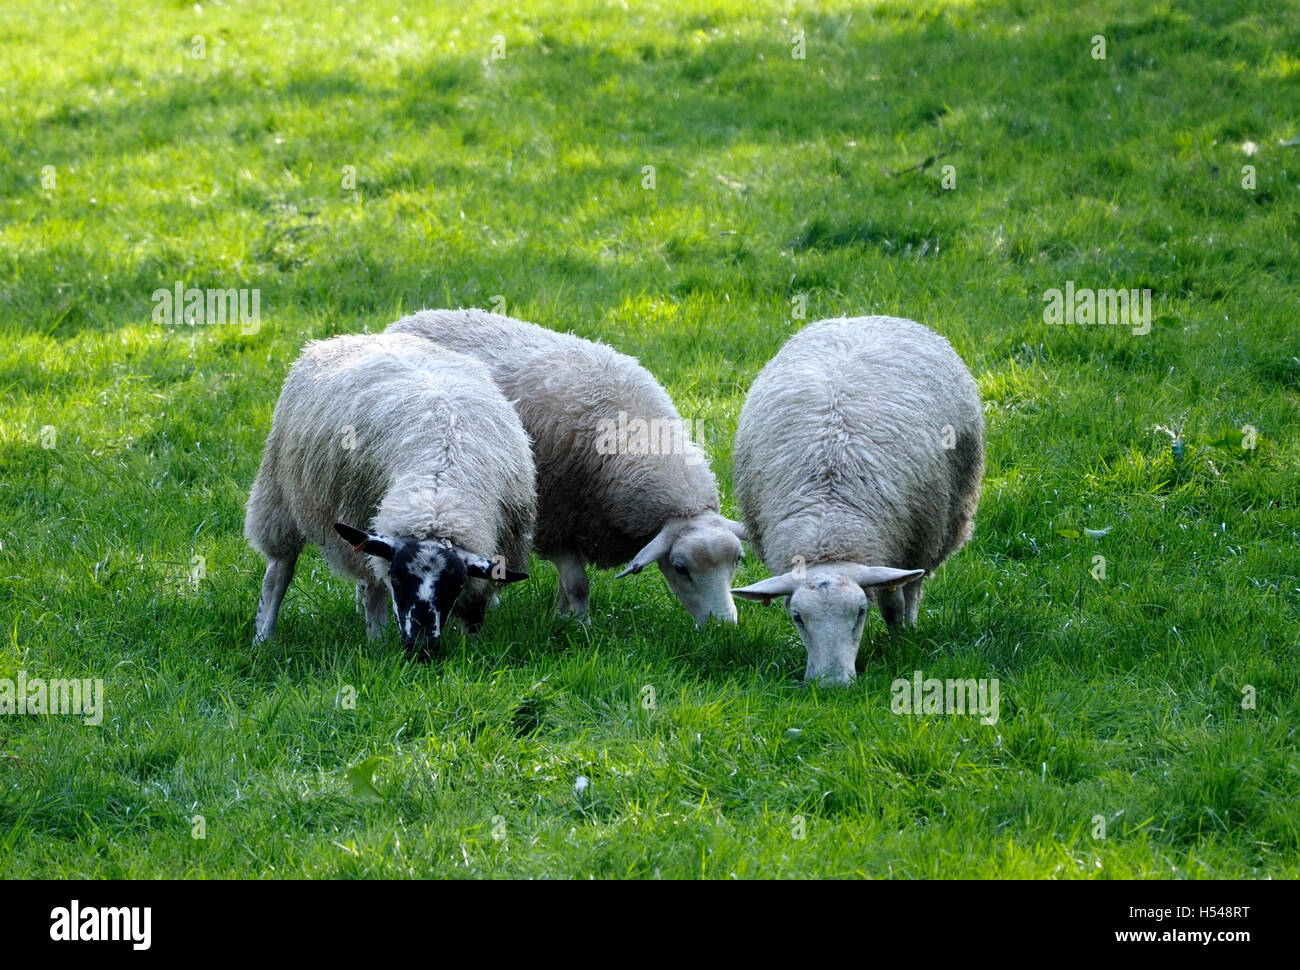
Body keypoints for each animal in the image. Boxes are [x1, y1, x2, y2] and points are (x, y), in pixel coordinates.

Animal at [244, 332, 535, 656]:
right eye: (397, 577)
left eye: (455, 585)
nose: (420, 646)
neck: (437, 498)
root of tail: (358, 336)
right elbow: (375, 591)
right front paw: (378, 645)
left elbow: (475, 608)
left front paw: (471, 648)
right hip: (279, 493)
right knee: (279, 571)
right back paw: (264, 638)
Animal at [385, 309, 745, 626]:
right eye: (681, 567)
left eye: (738, 561)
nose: (724, 626)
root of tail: (411, 317)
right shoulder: (554, 523)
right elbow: (578, 585)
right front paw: (582, 626)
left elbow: (566, 586)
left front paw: (560, 616)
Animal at [730, 315, 984, 686]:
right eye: (797, 617)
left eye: (861, 612)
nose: (832, 684)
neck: (829, 527)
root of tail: (858, 318)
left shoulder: (898, 547)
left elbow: (894, 603)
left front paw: (900, 640)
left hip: (936, 525)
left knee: (914, 585)